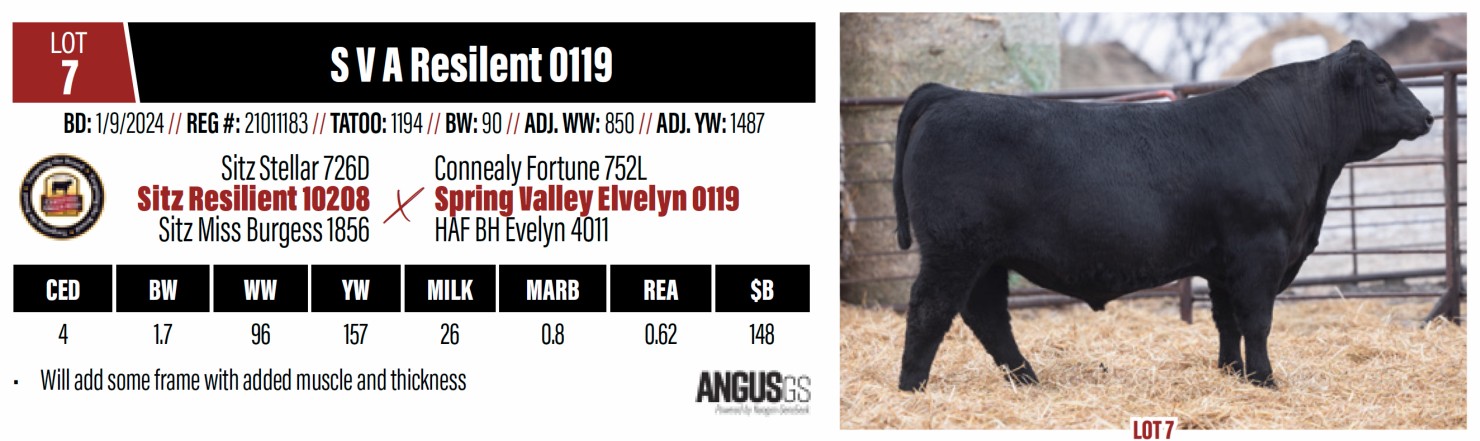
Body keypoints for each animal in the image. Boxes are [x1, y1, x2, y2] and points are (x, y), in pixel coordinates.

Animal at [892, 41, 1432, 391]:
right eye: (1383, 79)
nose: (1428, 116)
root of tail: (951, 95)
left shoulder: (1223, 261)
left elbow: (1227, 320)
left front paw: (1232, 373)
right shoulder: (1260, 249)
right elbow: (1256, 320)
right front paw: (1264, 379)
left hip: (986, 258)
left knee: (986, 316)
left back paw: (1027, 379)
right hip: (955, 248)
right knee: (930, 308)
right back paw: (912, 386)